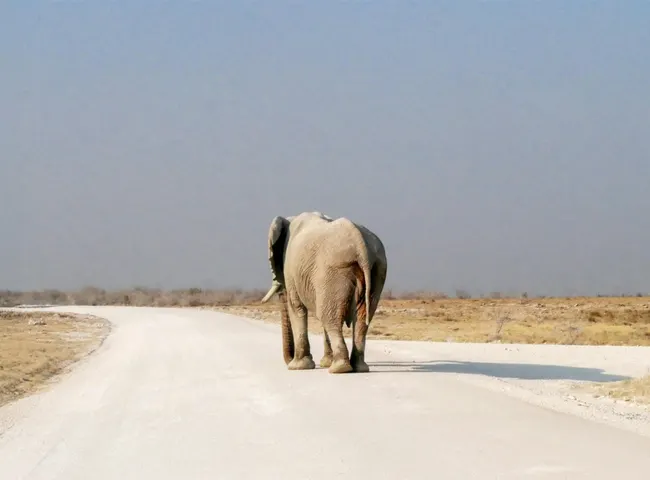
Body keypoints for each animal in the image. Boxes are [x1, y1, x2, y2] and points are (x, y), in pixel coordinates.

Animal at [260, 211, 388, 374]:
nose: (289, 360)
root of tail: (361, 246)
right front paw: (323, 363)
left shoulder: (291, 270)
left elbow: (297, 308)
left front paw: (297, 367)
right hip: (377, 269)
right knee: (361, 317)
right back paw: (358, 368)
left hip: (333, 271)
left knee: (329, 317)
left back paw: (339, 368)